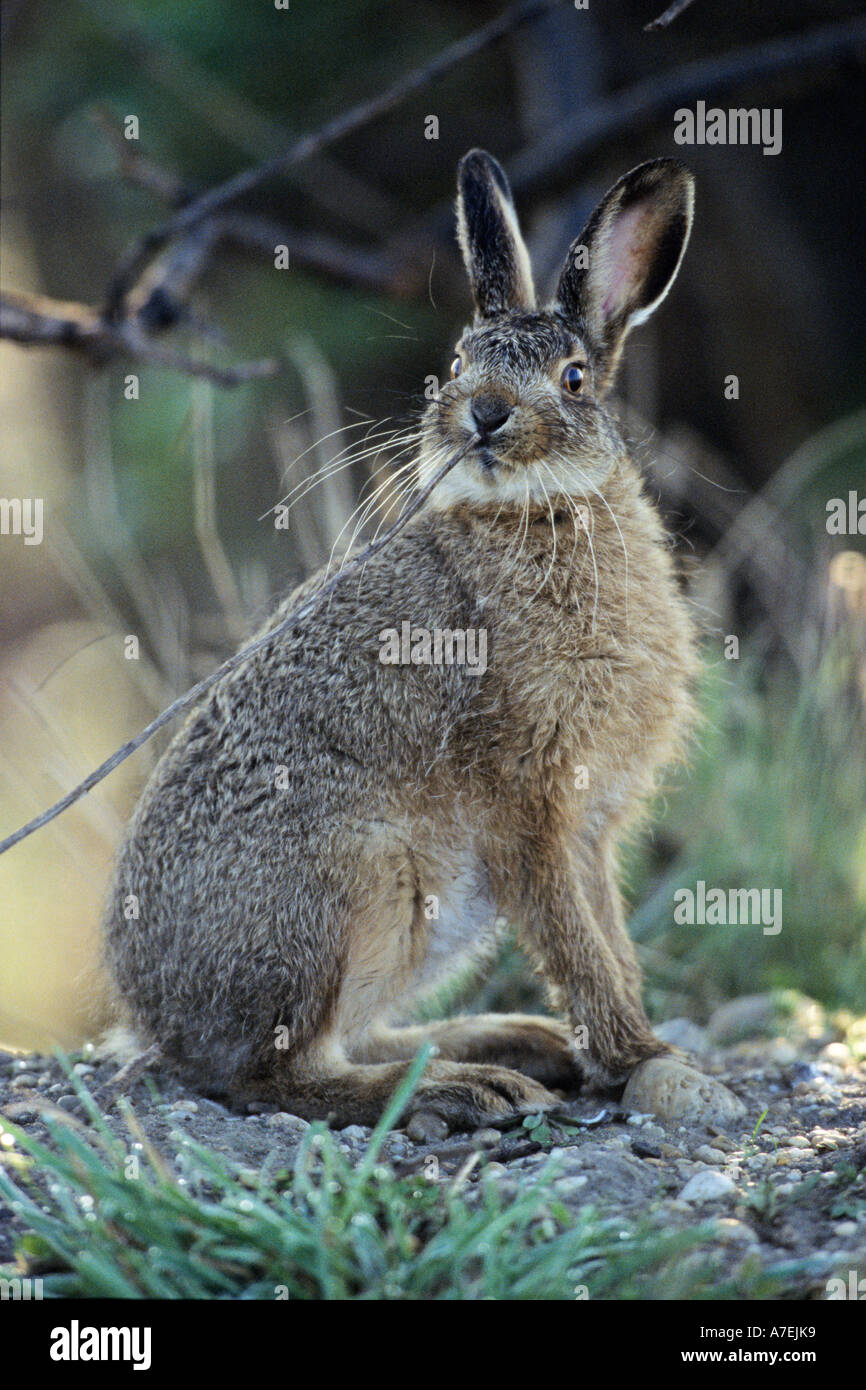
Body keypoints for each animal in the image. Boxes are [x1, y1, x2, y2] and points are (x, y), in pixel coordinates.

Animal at [103, 149, 700, 1132]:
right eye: (457, 362)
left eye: (574, 377)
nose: (485, 414)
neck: (532, 514)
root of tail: (158, 1020)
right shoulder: (529, 807)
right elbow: (575, 939)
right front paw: (639, 1053)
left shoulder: (587, 826)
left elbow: (605, 934)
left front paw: (632, 1046)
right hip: (356, 885)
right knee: (280, 1075)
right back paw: (468, 1086)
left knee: (352, 1037)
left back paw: (506, 1045)